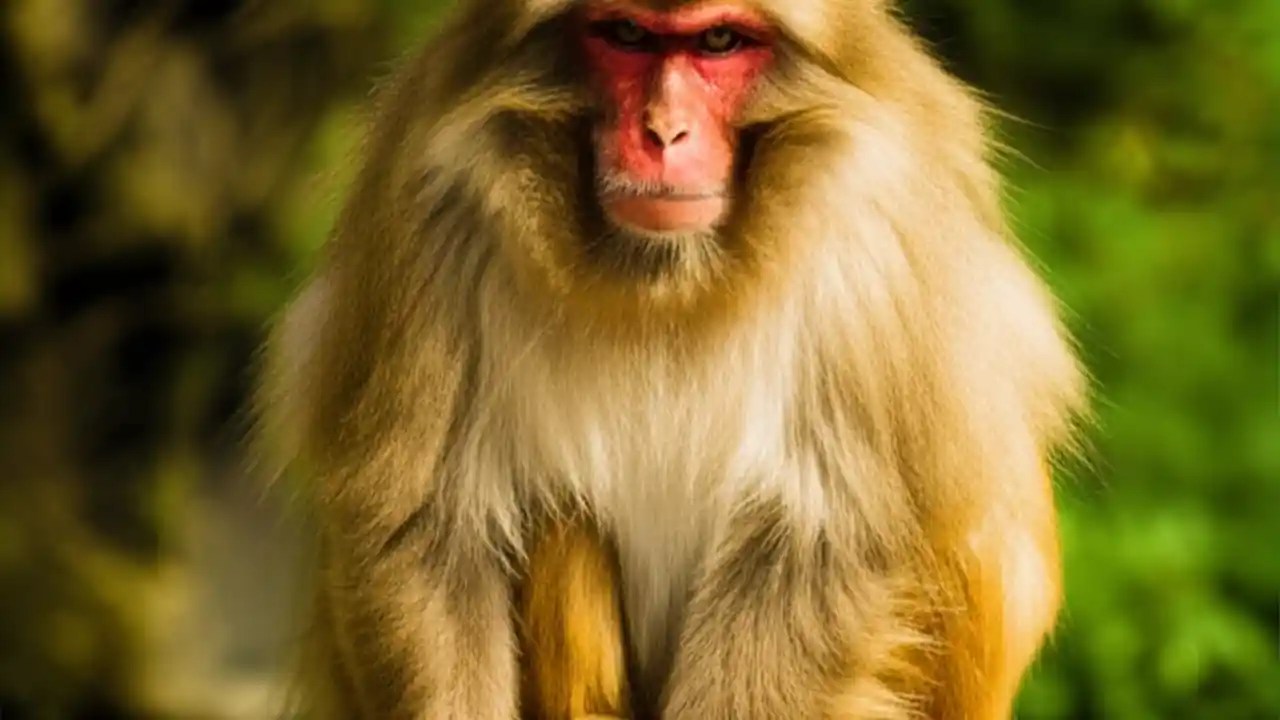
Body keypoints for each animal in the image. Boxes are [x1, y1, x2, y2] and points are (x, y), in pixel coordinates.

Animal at [257, 0, 1085, 718]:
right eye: (625, 34)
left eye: (718, 42)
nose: (663, 133)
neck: (664, 274)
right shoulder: (430, 201)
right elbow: (427, 533)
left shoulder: (880, 225)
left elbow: (818, 542)